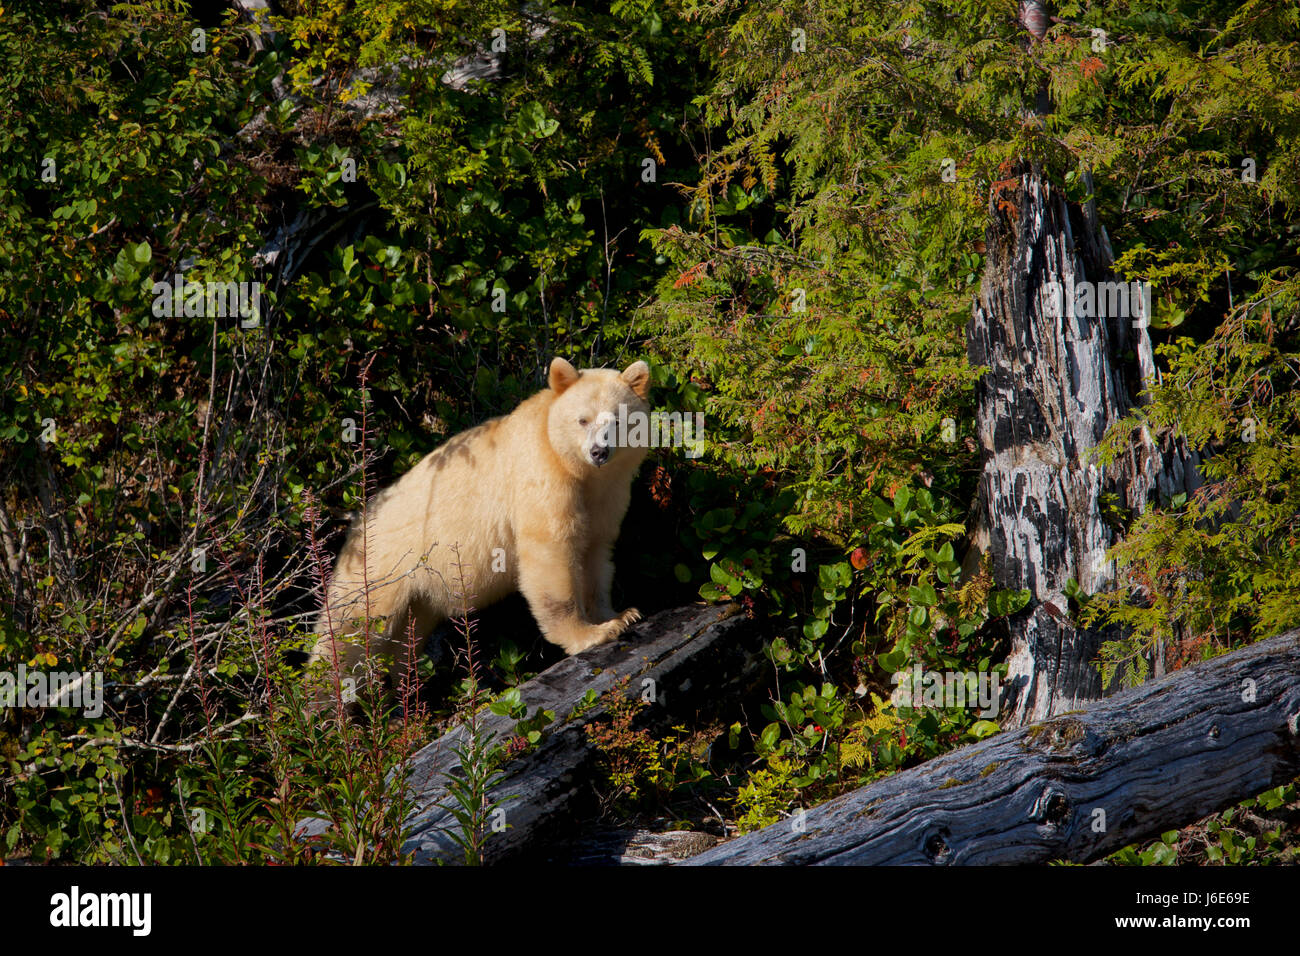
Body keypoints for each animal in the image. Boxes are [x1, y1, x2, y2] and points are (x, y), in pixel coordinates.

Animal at [308, 357, 651, 704]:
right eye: (583, 420)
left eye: (618, 421)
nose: (598, 452)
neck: (579, 472)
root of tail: (358, 524)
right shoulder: (541, 477)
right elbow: (550, 552)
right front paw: (590, 634)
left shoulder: (608, 495)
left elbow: (596, 551)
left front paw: (620, 616)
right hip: (379, 569)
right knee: (348, 630)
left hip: (416, 593)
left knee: (403, 638)